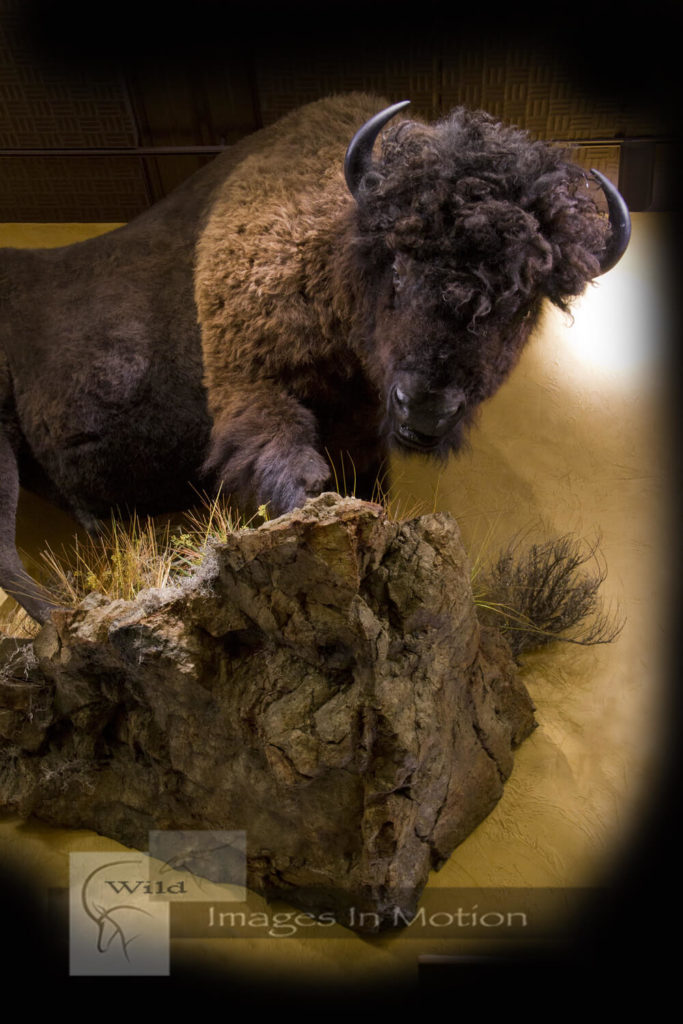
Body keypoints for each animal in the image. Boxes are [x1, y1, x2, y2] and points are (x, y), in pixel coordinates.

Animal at [0, 93, 630, 624]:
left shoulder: (365, 445)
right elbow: (291, 475)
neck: (336, 246)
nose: (425, 411)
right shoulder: (255, 389)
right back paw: (63, 620)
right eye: (397, 267)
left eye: (522, 304)